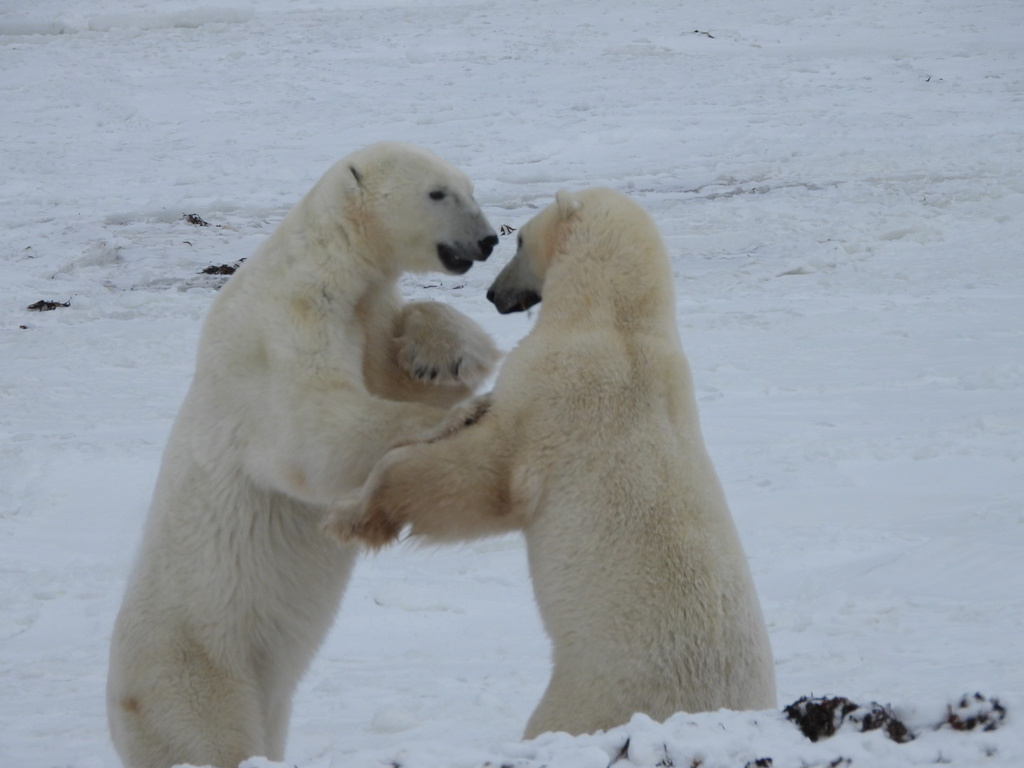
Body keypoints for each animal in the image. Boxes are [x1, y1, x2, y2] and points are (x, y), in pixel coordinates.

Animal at [107, 142, 501, 768]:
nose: (487, 240)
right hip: (195, 668)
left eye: (470, 188)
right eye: (438, 193)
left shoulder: (366, 315)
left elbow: (400, 367)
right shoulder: (286, 327)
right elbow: (311, 432)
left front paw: (438, 352)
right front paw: (458, 415)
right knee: (213, 736)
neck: (330, 262)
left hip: (265, 695)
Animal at [327, 187, 777, 739]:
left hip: (591, 698)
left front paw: (354, 513)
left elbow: (481, 476)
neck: (614, 321)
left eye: (518, 237)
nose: (493, 294)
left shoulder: (552, 394)